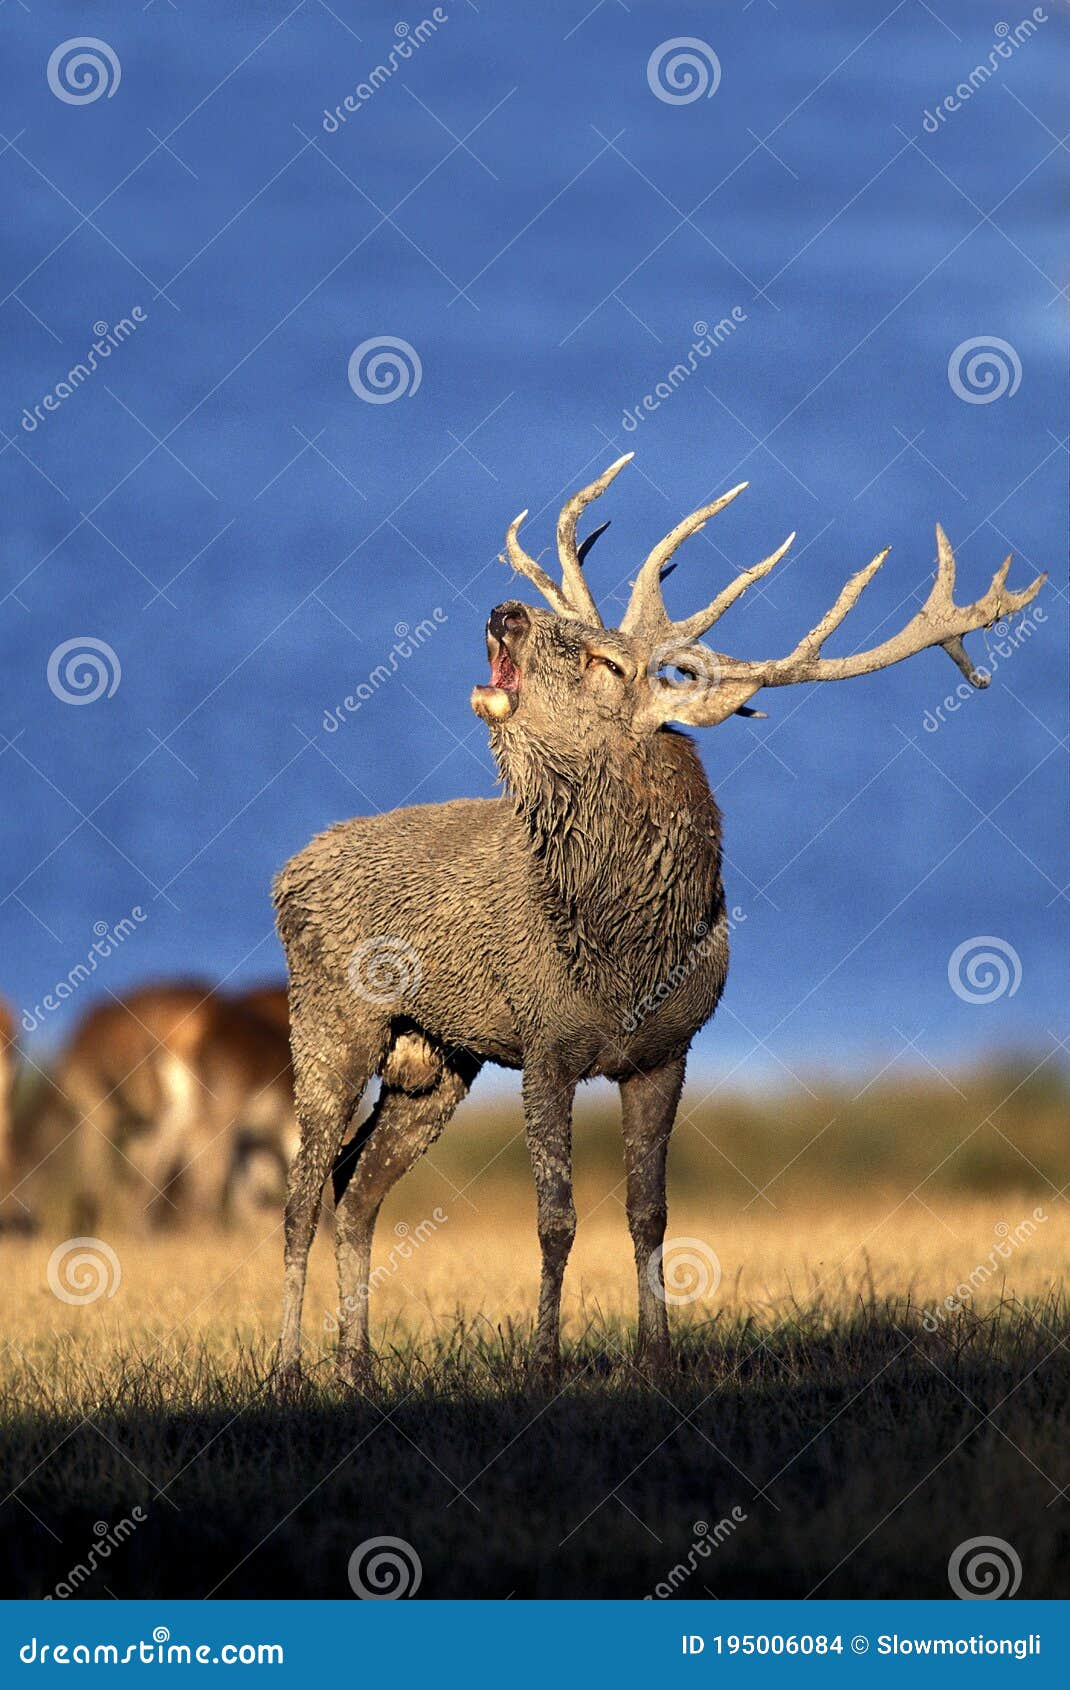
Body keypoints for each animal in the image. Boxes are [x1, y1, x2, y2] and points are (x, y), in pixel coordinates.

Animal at [274, 455, 1044, 1388]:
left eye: (605, 659)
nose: (506, 610)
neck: (628, 951)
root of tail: (287, 869)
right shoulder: (546, 1043)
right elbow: (557, 1219)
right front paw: (544, 1364)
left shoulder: (667, 1051)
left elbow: (651, 1213)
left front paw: (659, 1359)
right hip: (331, 1019)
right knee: (302, 1192)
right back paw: (288, 1370)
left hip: (436, 1058)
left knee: (356, 1190)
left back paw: (357, 1367)